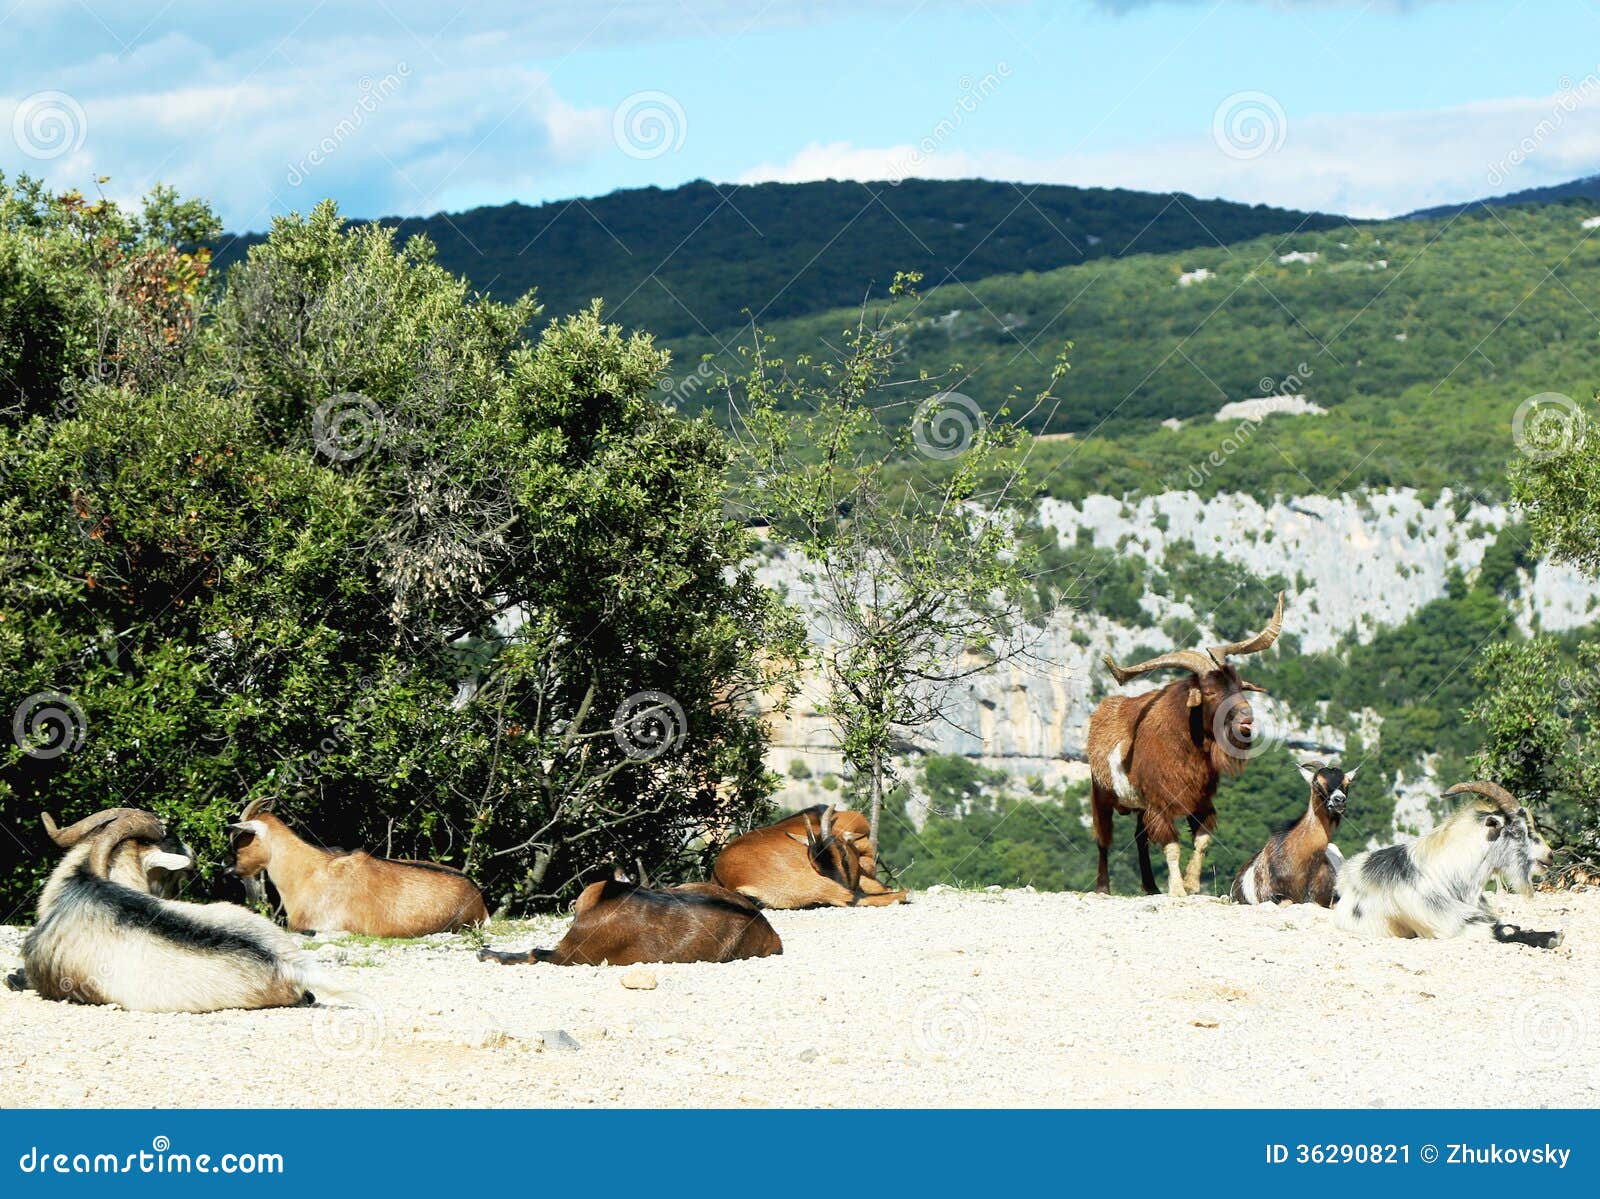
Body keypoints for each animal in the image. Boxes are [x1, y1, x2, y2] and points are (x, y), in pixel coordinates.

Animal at [1088, 591, 1285, 896]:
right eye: (1209, 691)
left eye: (1239, 685)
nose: (1246, 719)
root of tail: (1102, 712)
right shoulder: (1161, 803)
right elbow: (1171, 846)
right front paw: (1178, 889)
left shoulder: (1199, 800)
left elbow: (1201, 840)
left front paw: (1191, 884)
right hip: (1101, 793)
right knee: (1103, 839)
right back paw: (1103, 887)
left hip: (1139, 806)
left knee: (1139, 838)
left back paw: (1151, 887)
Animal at [1334, 780, 1561, 947]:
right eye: (1521, 830)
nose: (1549, 855)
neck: (1445, 875)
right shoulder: (1452, 925)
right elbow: (1502, 931)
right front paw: (1553, 936)